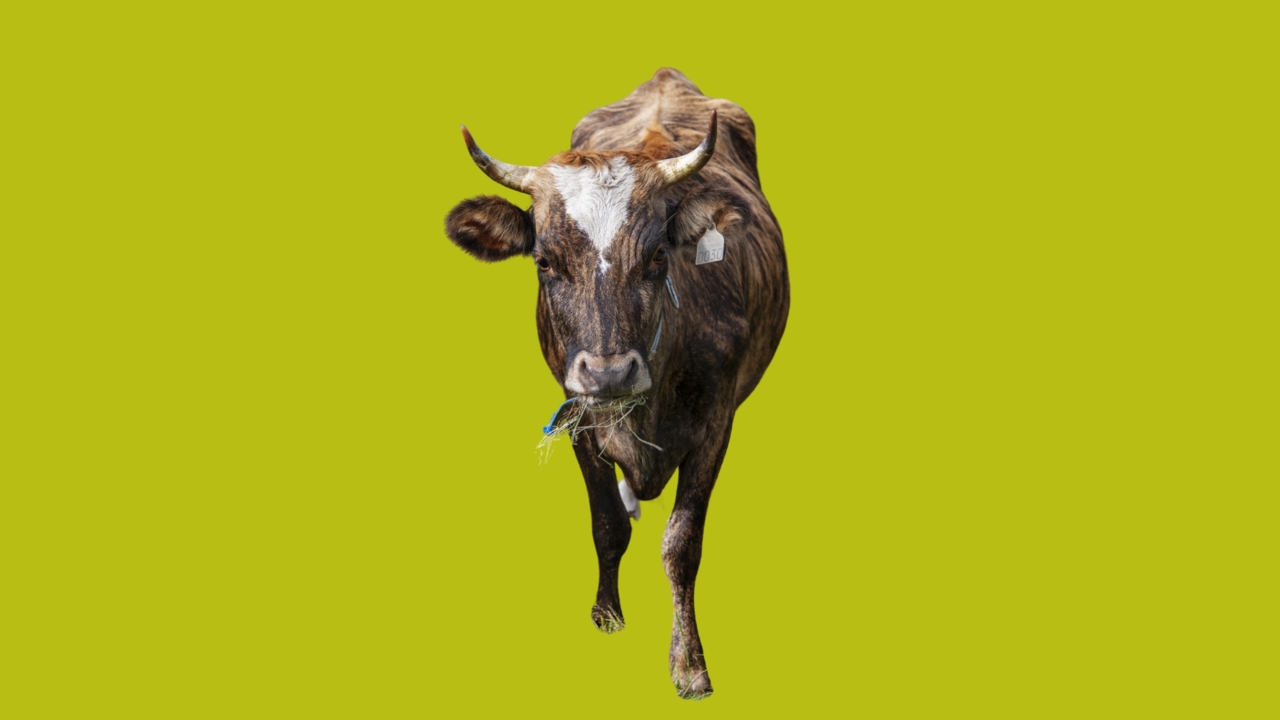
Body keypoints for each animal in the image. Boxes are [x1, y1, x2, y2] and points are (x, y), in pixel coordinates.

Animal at [443, 68, 789, 699]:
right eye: (544, 262)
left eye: (657, 256)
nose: (608, 371)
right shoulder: (577, 414)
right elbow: (605, 524)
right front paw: (607, 616)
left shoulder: (716, 424)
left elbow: (682, 543)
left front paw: (689, 664)